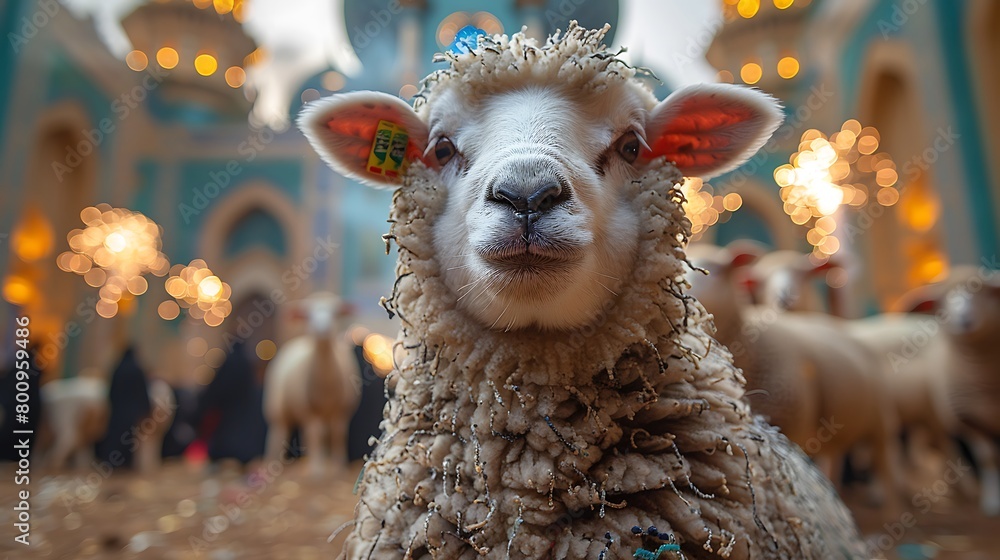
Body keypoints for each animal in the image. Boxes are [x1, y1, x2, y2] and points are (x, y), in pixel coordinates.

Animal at [263, 292, 362, 478]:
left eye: (336, 313)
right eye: (307, 315)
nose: (322, 328)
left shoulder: (342, 411)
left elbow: (339, 434)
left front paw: (339, 467)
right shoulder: (310, 410)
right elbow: (316, 434)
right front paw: (318, 470)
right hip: (279, 409)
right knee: (279, 434)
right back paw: (275, 464)